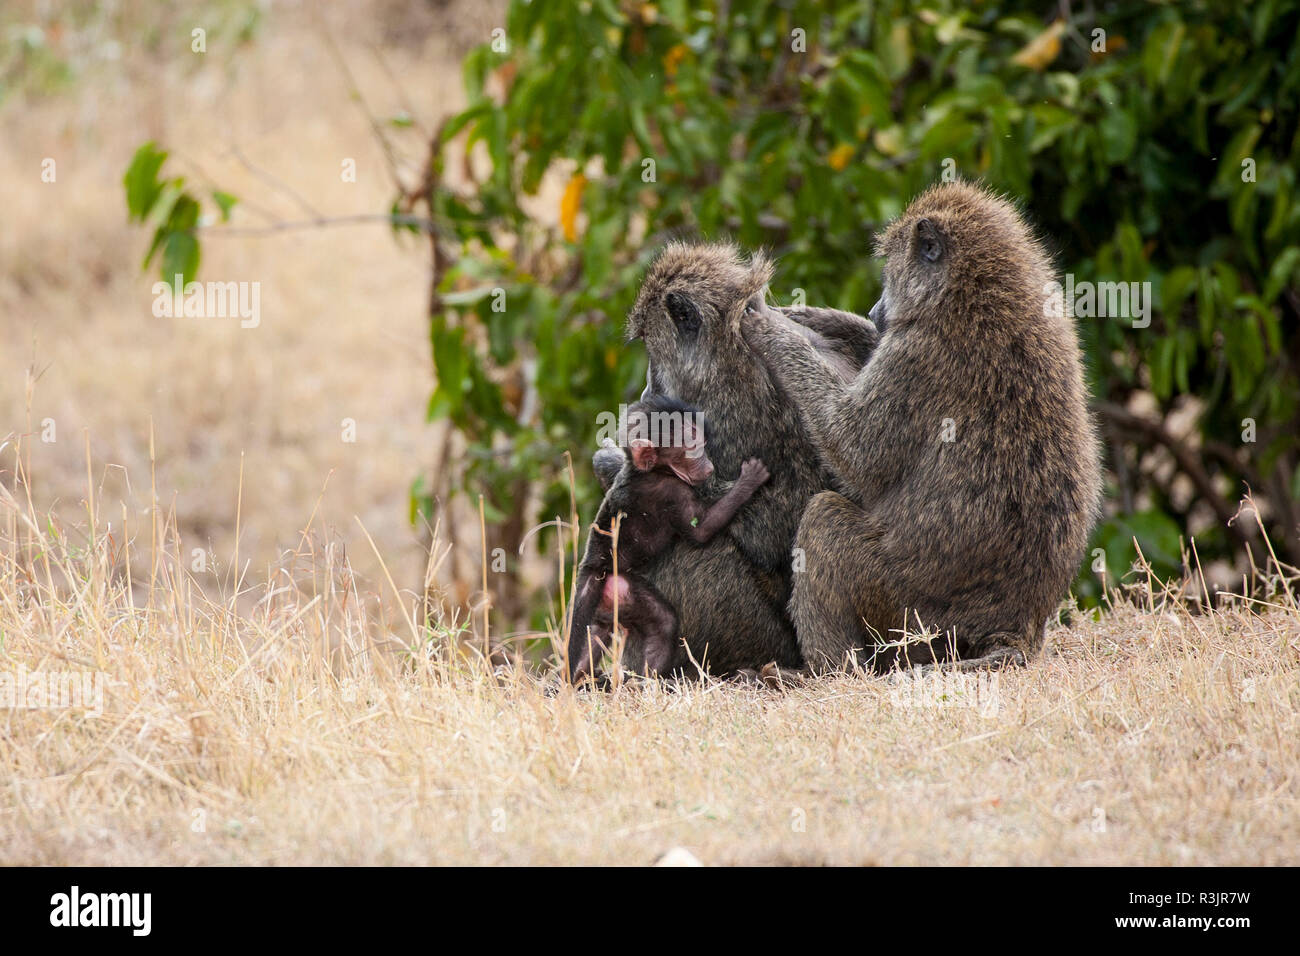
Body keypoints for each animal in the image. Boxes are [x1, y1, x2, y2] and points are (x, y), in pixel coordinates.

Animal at [567, 394, 771, 682]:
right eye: (694, 448)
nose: (709, 465)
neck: (650, 472)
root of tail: (595, 569)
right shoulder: (673, 492)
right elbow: (701, 531)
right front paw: (749, 481)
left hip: (611, 601)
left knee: (602, 635)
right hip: (610, 591)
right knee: (661, 626)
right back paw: (647, 681)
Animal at [741, 180, 1102, 673]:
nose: (876, 310)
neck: (977, 289)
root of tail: (1017, 628)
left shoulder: (919, 353)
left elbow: (853, 450)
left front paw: (772, 332)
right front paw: (817, 317)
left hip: (907, 607)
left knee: (824, 521)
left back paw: (822, 673)